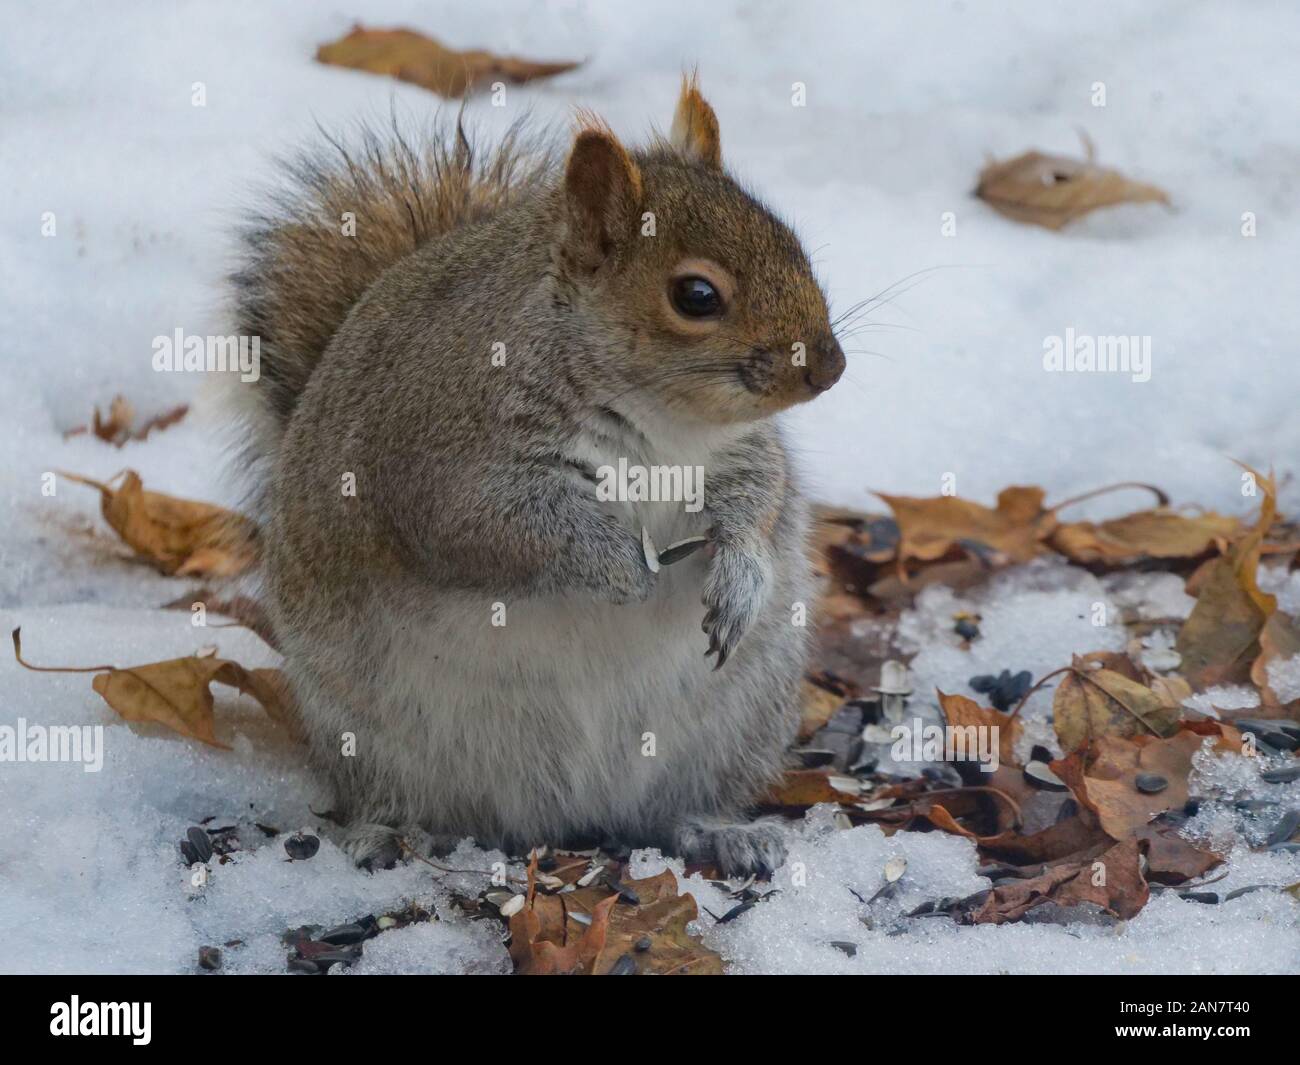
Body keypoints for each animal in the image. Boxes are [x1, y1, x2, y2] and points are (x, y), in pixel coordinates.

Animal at [229, 76, 845, 877]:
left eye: (792, 242)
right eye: (696, 296)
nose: (829, 366)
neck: (660, 420)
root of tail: (564, 815)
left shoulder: (741, 451)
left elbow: (758, 501)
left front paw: (739, 576)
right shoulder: (445, 464)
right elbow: (505, 530)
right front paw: (622, 568)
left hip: (737, 720)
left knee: (675, 807)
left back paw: (721, 831)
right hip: (367, 731)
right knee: (392, 795)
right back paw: (389, 833)